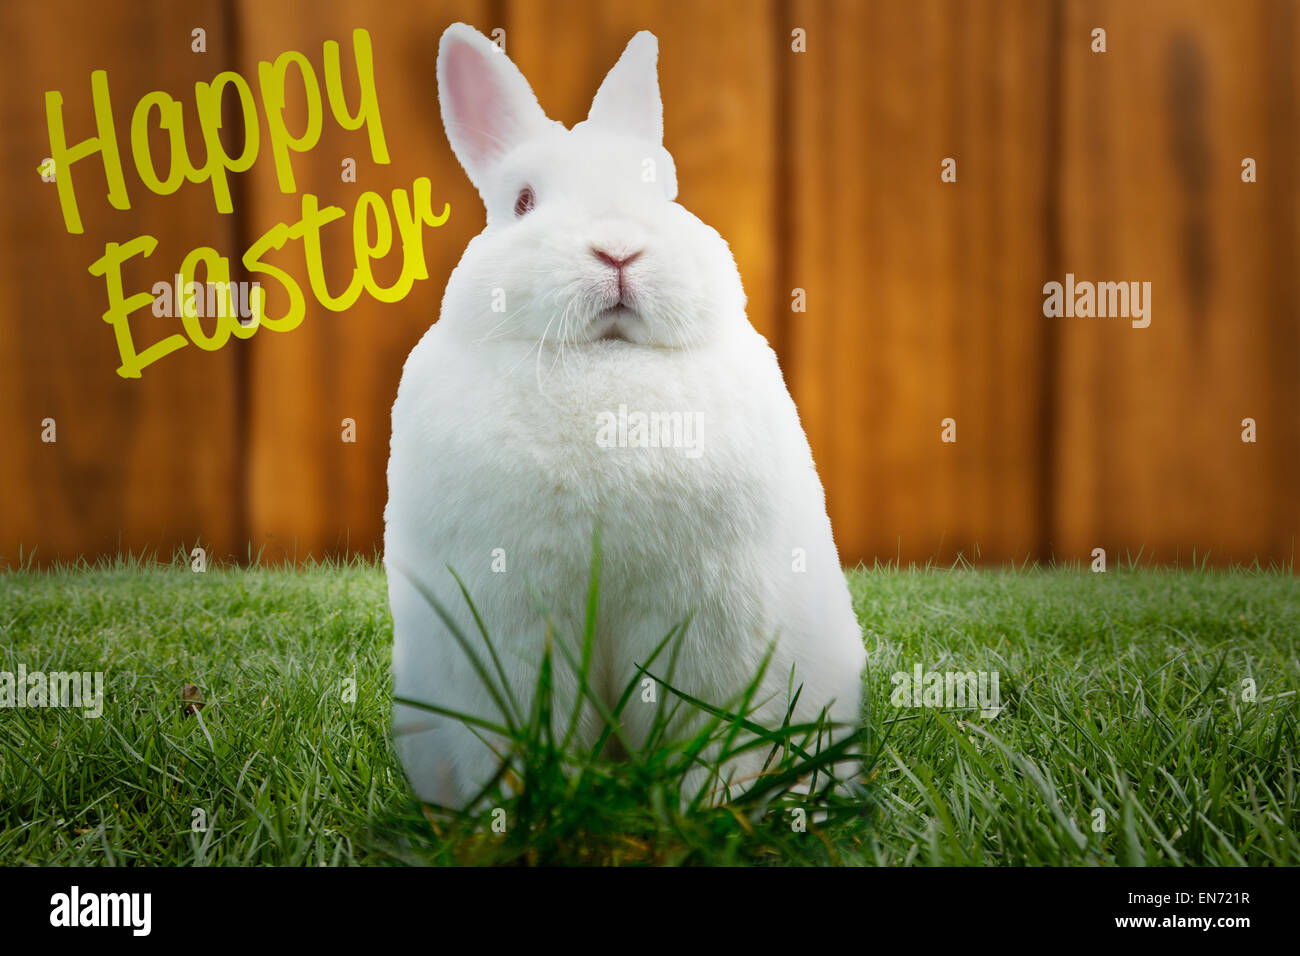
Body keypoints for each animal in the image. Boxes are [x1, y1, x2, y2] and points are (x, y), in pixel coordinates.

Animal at [385, 22, 866, 810]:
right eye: (523, 201)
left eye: (662, 191)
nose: (617, 251)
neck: (604, 362)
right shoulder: (508, 622)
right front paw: (518, 810)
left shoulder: (712, 617)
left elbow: (711, 731)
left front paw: (708, 807)